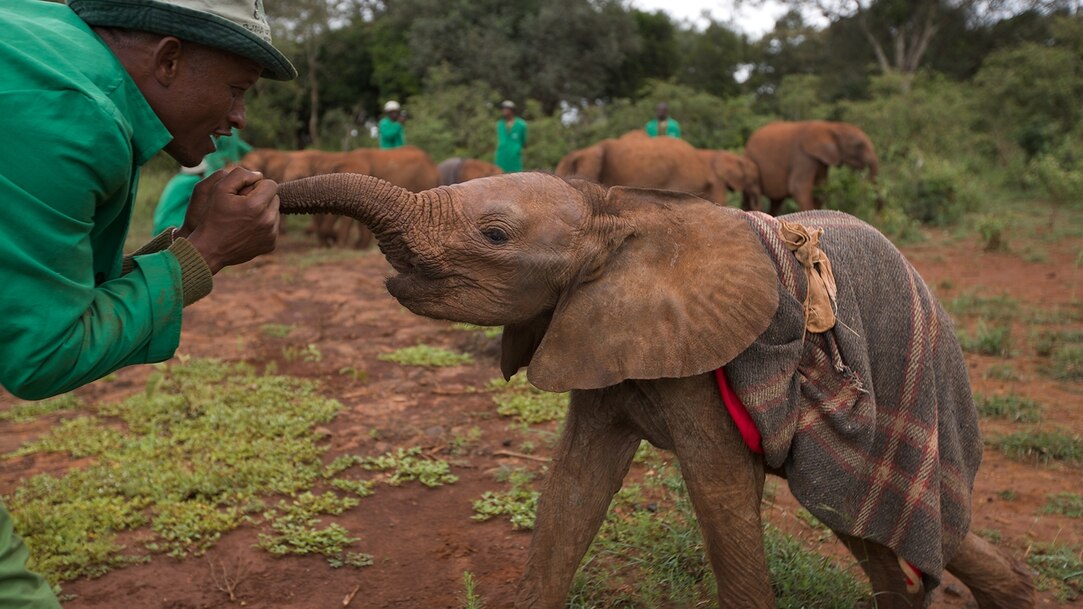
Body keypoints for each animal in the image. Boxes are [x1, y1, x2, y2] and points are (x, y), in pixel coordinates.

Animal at [276, 172, 1034, 609]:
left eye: (494, 234)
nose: (255, 190)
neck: (615, 212)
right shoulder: (597, 327)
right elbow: (574, 483)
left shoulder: (703, 365)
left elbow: (719, 491)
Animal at [745, 120, 879, 216]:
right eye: (858, 145)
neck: (832, 126)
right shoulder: (802, 156)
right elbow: (799, 187)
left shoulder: (821, 161)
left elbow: (821, 188)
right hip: (750, 163)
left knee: (776, 202)